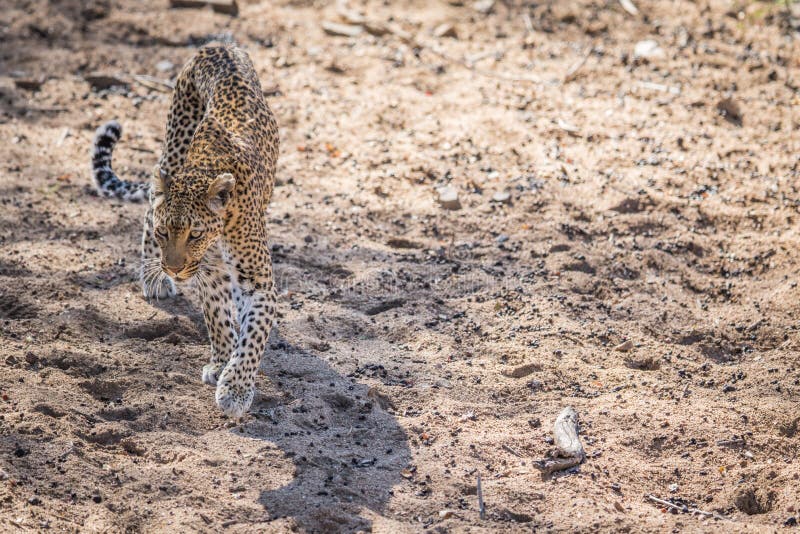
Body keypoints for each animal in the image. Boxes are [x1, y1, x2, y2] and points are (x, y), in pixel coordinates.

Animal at [89, 44, 279, 419]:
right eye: (165, 233)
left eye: (195, 234)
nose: (175, 269)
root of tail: (218, 45)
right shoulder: (210, 271)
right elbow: (217, 316)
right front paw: (222, 363)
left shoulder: (258, 281)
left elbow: (253, 336)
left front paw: (235, 387)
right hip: (172, 150)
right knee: (148, 206)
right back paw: (153, 279)